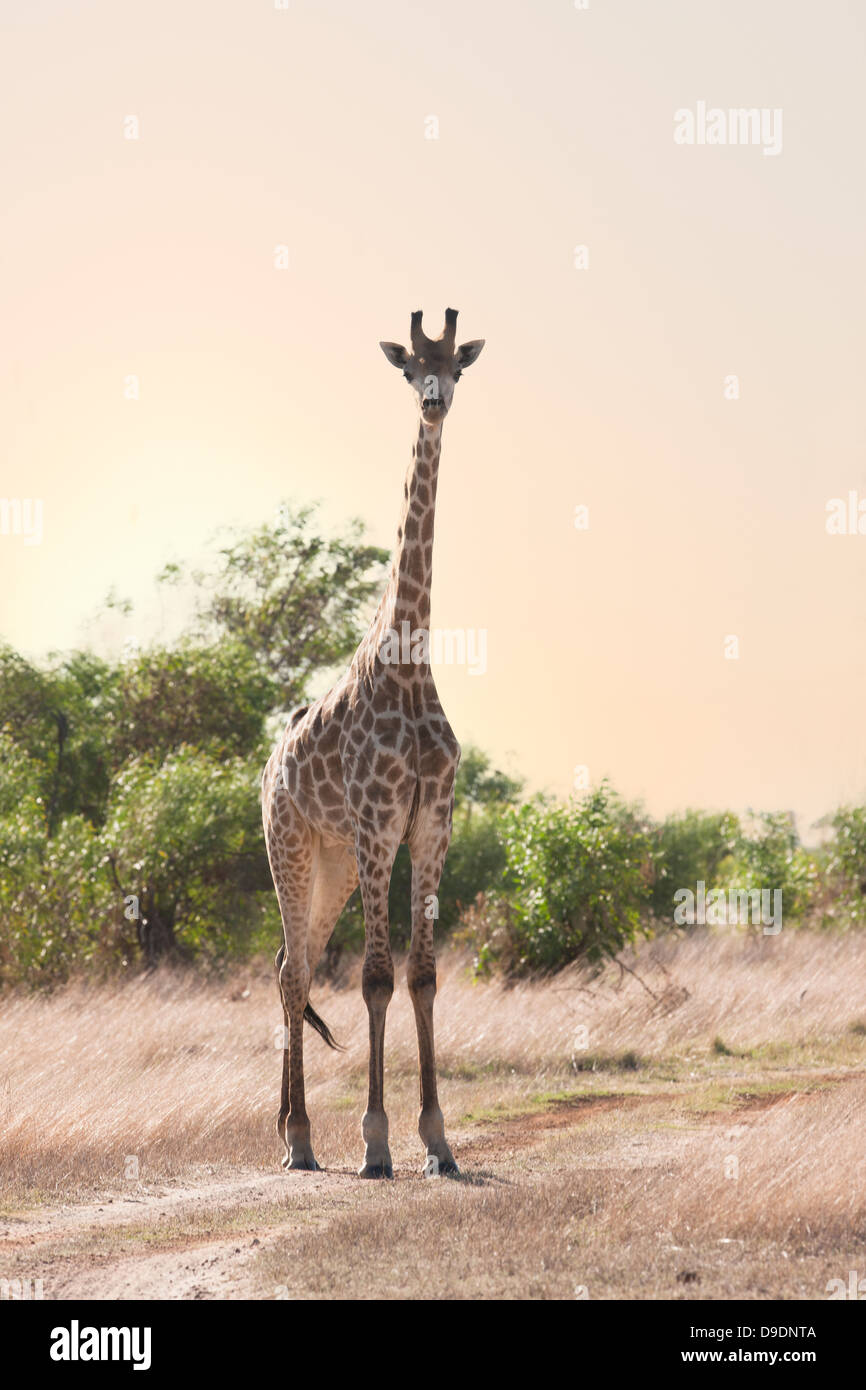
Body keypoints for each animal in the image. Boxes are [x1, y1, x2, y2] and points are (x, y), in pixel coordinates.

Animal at [262, 308, 485, 1178]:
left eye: (456, 367)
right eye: (409, 371)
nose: (433, 403)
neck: (410, 659)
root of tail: (267, 770)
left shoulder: (432, 824)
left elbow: (422, 976)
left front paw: (439, 1141)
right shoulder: (377, 824)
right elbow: (378, 978)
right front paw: (378, 1142)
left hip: (329, 866)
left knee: (287, 966)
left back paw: (290, 1131)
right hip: (292, 847)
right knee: (295, 973)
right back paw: (298, 1140)